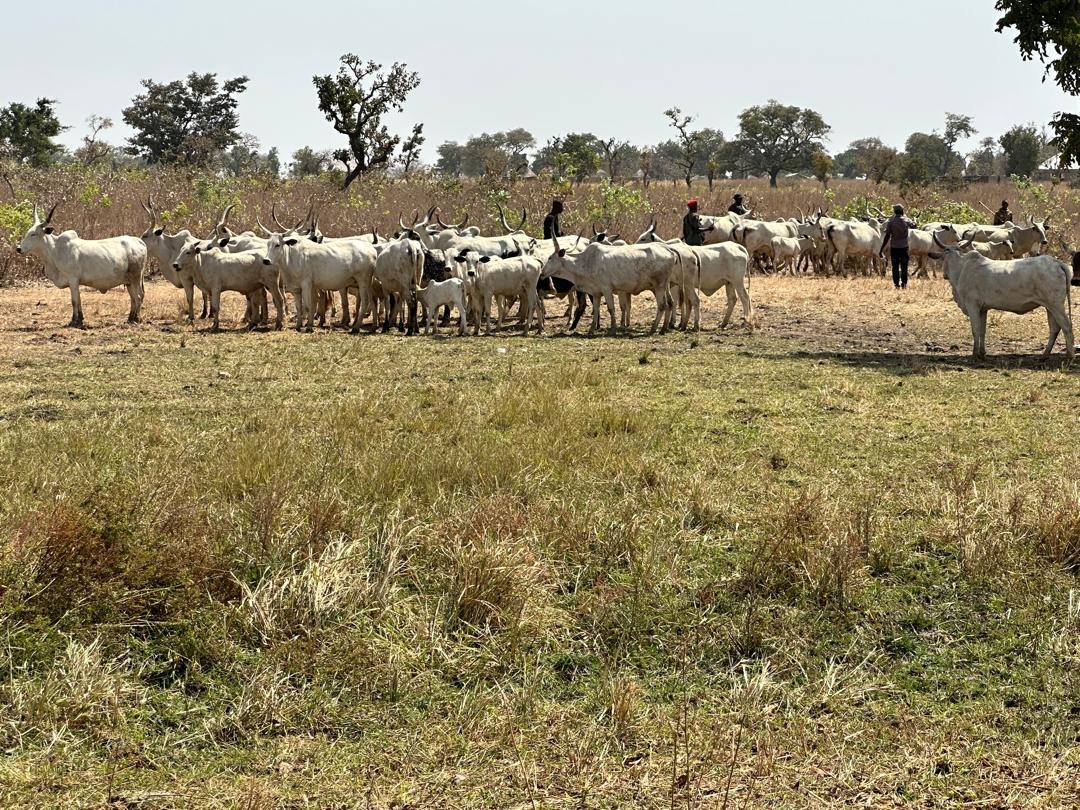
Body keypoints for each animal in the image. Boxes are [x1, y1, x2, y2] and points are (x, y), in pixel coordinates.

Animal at [16, 203, 147, 327]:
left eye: (33, 234)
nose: (18, 248)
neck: (55, 250)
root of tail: (139, 241)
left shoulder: (73, 279)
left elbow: (74, 301)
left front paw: (73, 321)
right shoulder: (75, 283)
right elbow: (78, 300)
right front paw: (80, 319)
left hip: (136, 277)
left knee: (139, 296)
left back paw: (136, 319)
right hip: (128, 281)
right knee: (133, 298)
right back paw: (130, 318)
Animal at [931, 233, 1073, 360]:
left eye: (943, 257)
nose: (944, 275)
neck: (961, 269)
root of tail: (1056, 262)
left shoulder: (972, 305)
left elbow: (975, 329)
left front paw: (975, 354)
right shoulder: (983, 309)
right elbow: (982, 330)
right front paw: (982, 353)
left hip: (1056, 305)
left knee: (1066, 325)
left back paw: (1069, 356)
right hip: (1050, 307)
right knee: (1055, 328)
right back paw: (1045, 355)